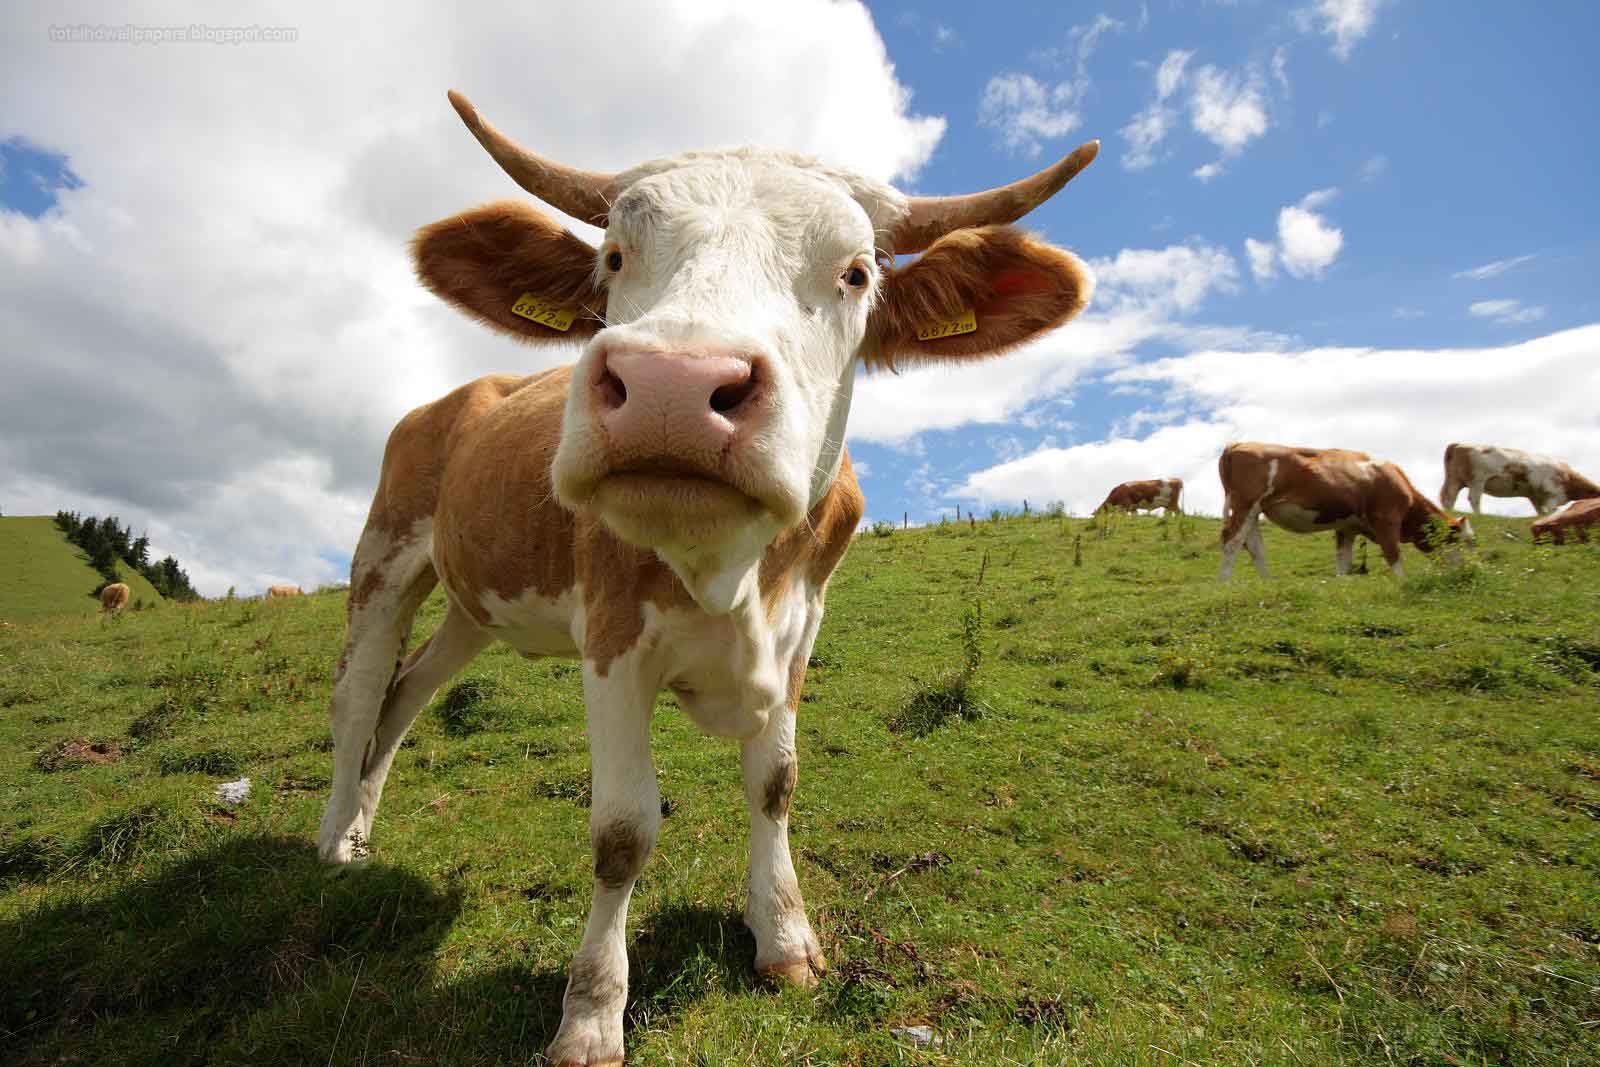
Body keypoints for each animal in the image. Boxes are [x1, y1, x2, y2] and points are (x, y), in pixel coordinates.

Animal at [317, 90, 1097, 1066]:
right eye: (615, 256)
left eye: (854, 275)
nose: (670, 387)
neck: (731, 574)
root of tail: (464, 391)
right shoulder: (612, 642)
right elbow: (622, 831)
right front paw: (591, 1013)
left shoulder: (803, 630)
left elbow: (776, 783)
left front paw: (785, 937)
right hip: (384, 553)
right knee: (359, 692)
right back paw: (331, 843)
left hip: (475, 604)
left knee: (407, 691)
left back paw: (361, 828)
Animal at [1218, 442, 1471, 580]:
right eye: (1458, 541)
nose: (1465, 571)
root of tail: (1238, 444)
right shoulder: (1386, 519)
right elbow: (1394, 555)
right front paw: (1404, 583)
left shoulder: (1347, 528)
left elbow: (1343, 563)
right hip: (1245, 503)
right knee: (1231, 541)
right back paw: (1224, 583)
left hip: (1253, 510)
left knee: (1254, 547)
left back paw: (1267, 582)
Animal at [1440, 443, 1600, 517]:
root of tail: (1458, 444)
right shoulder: (1552, 496)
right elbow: (1550, 512)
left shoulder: (1535, 497)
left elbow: (1541, 513)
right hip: (1477, 480)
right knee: (1474, 499)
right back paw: (1479, 515)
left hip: (1455, 480)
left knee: (1449, 498)